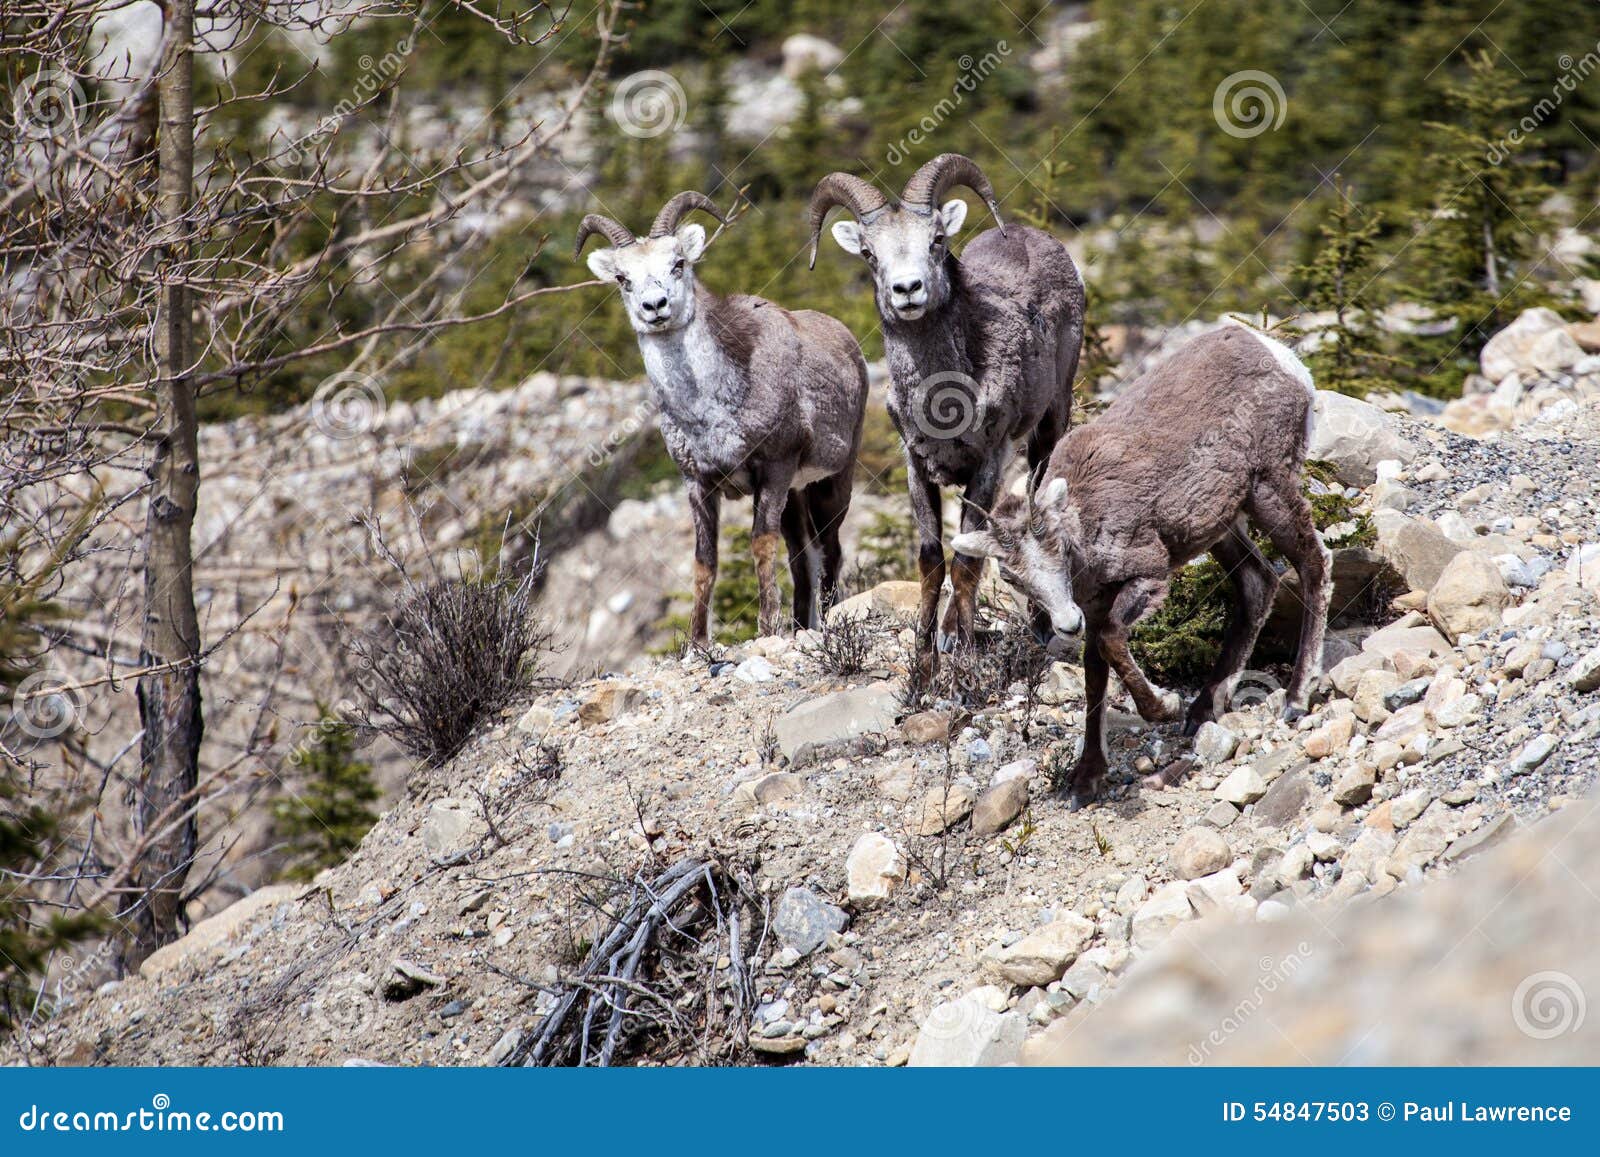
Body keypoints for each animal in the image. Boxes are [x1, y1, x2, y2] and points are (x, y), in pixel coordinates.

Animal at [576, 191, 869, 645]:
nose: (655, 307)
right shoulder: (698, 483)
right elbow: (705, 561)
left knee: (829, 550)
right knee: (802, 558)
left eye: (678, 262)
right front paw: (697, 642)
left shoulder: (774, 468)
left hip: (830, 481)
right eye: (623, 278)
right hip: (795, 495)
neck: (709, 412)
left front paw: (766, 629)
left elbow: (760, 544)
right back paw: (802, 626)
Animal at [807, 154, 1086, 653]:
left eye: (937, 240)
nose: (908, 290)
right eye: (869, 253)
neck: (944, 402)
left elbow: (967, 560)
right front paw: (924, 644)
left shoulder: (988, 464)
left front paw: (958, 640)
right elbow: (932, 558)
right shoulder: (916, 467)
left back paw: (1039, 622)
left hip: (1051, 421)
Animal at [949, 323, 1332, 807]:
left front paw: (1163, 706)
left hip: (1268, 489)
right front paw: (1086, 779)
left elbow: (1113, 644)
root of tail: (1283, 359)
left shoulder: (1147, 578)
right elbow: (1095, 677)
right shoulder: (1094, 610)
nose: (1066, 623)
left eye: (1058, 546)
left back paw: (1295, 698)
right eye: (1014, 577)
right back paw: (1203, 708)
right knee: (1257, 582)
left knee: (1313, 562)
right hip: (1221, 524)